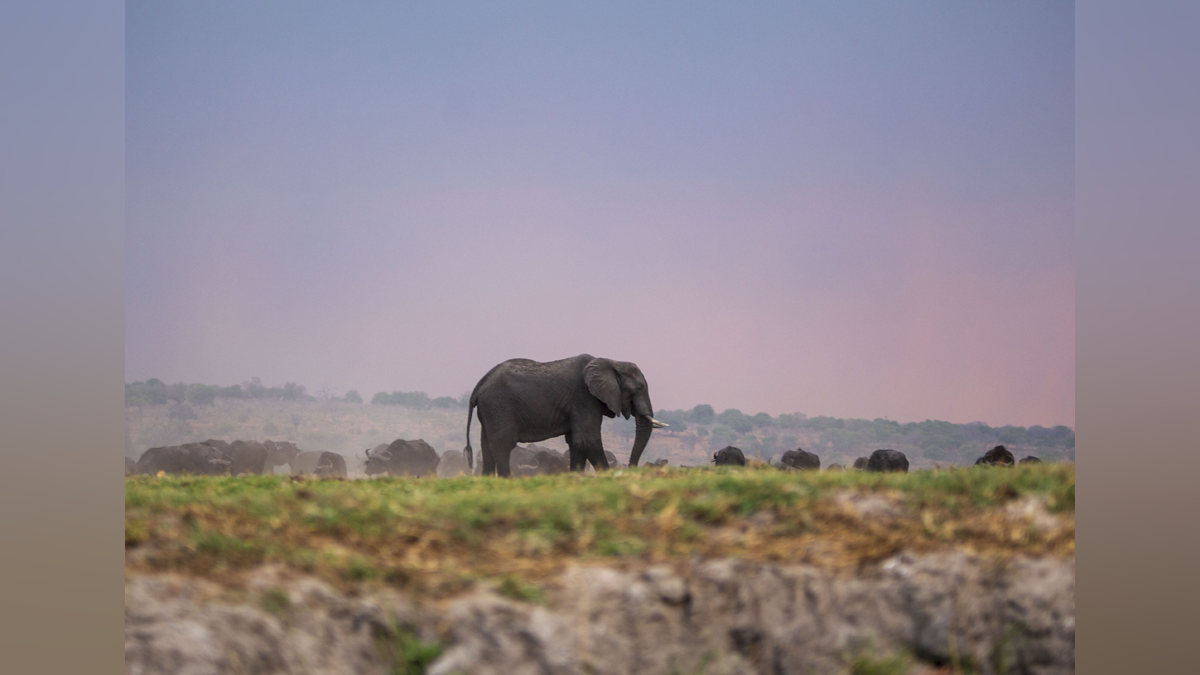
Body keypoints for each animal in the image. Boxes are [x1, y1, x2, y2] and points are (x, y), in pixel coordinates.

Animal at [463, 354, 667, 477]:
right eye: (638, 389)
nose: (631, 469)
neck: (611, 362)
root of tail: (478, 387)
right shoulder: (584, 399)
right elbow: (588, 441)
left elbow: (576, 443)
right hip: (498, 406)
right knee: (503, 444)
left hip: (490, 410)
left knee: (487, 447)